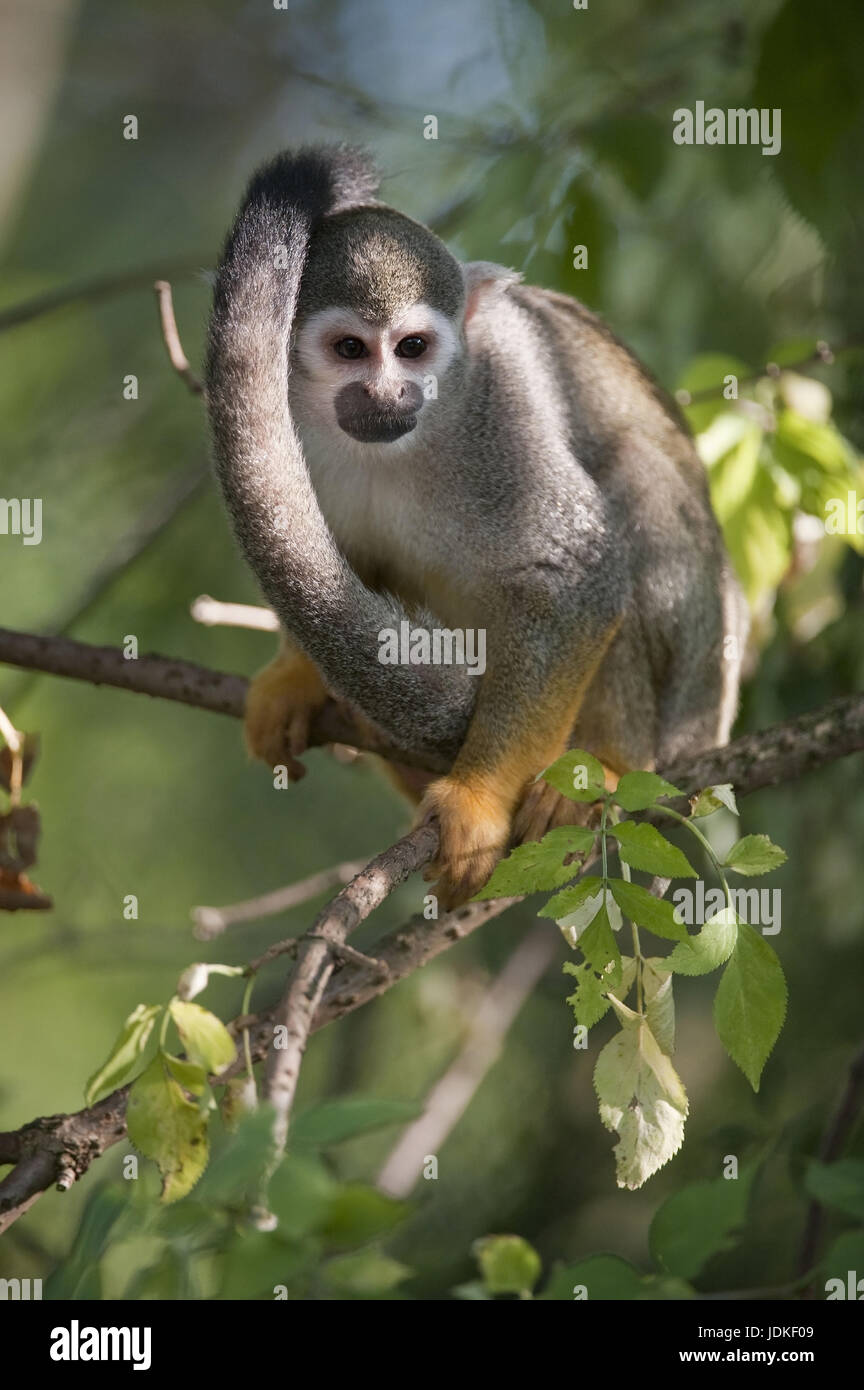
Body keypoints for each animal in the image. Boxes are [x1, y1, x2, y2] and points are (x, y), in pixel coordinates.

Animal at [206, 145, 748, 909]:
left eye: (412, 348)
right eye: (350, 350)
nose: (388, 395)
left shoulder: (500, 413)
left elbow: (574, 570)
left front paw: (479, 798)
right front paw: (296, 674)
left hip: (697, 679)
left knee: (632, 482)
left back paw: (606, 767)